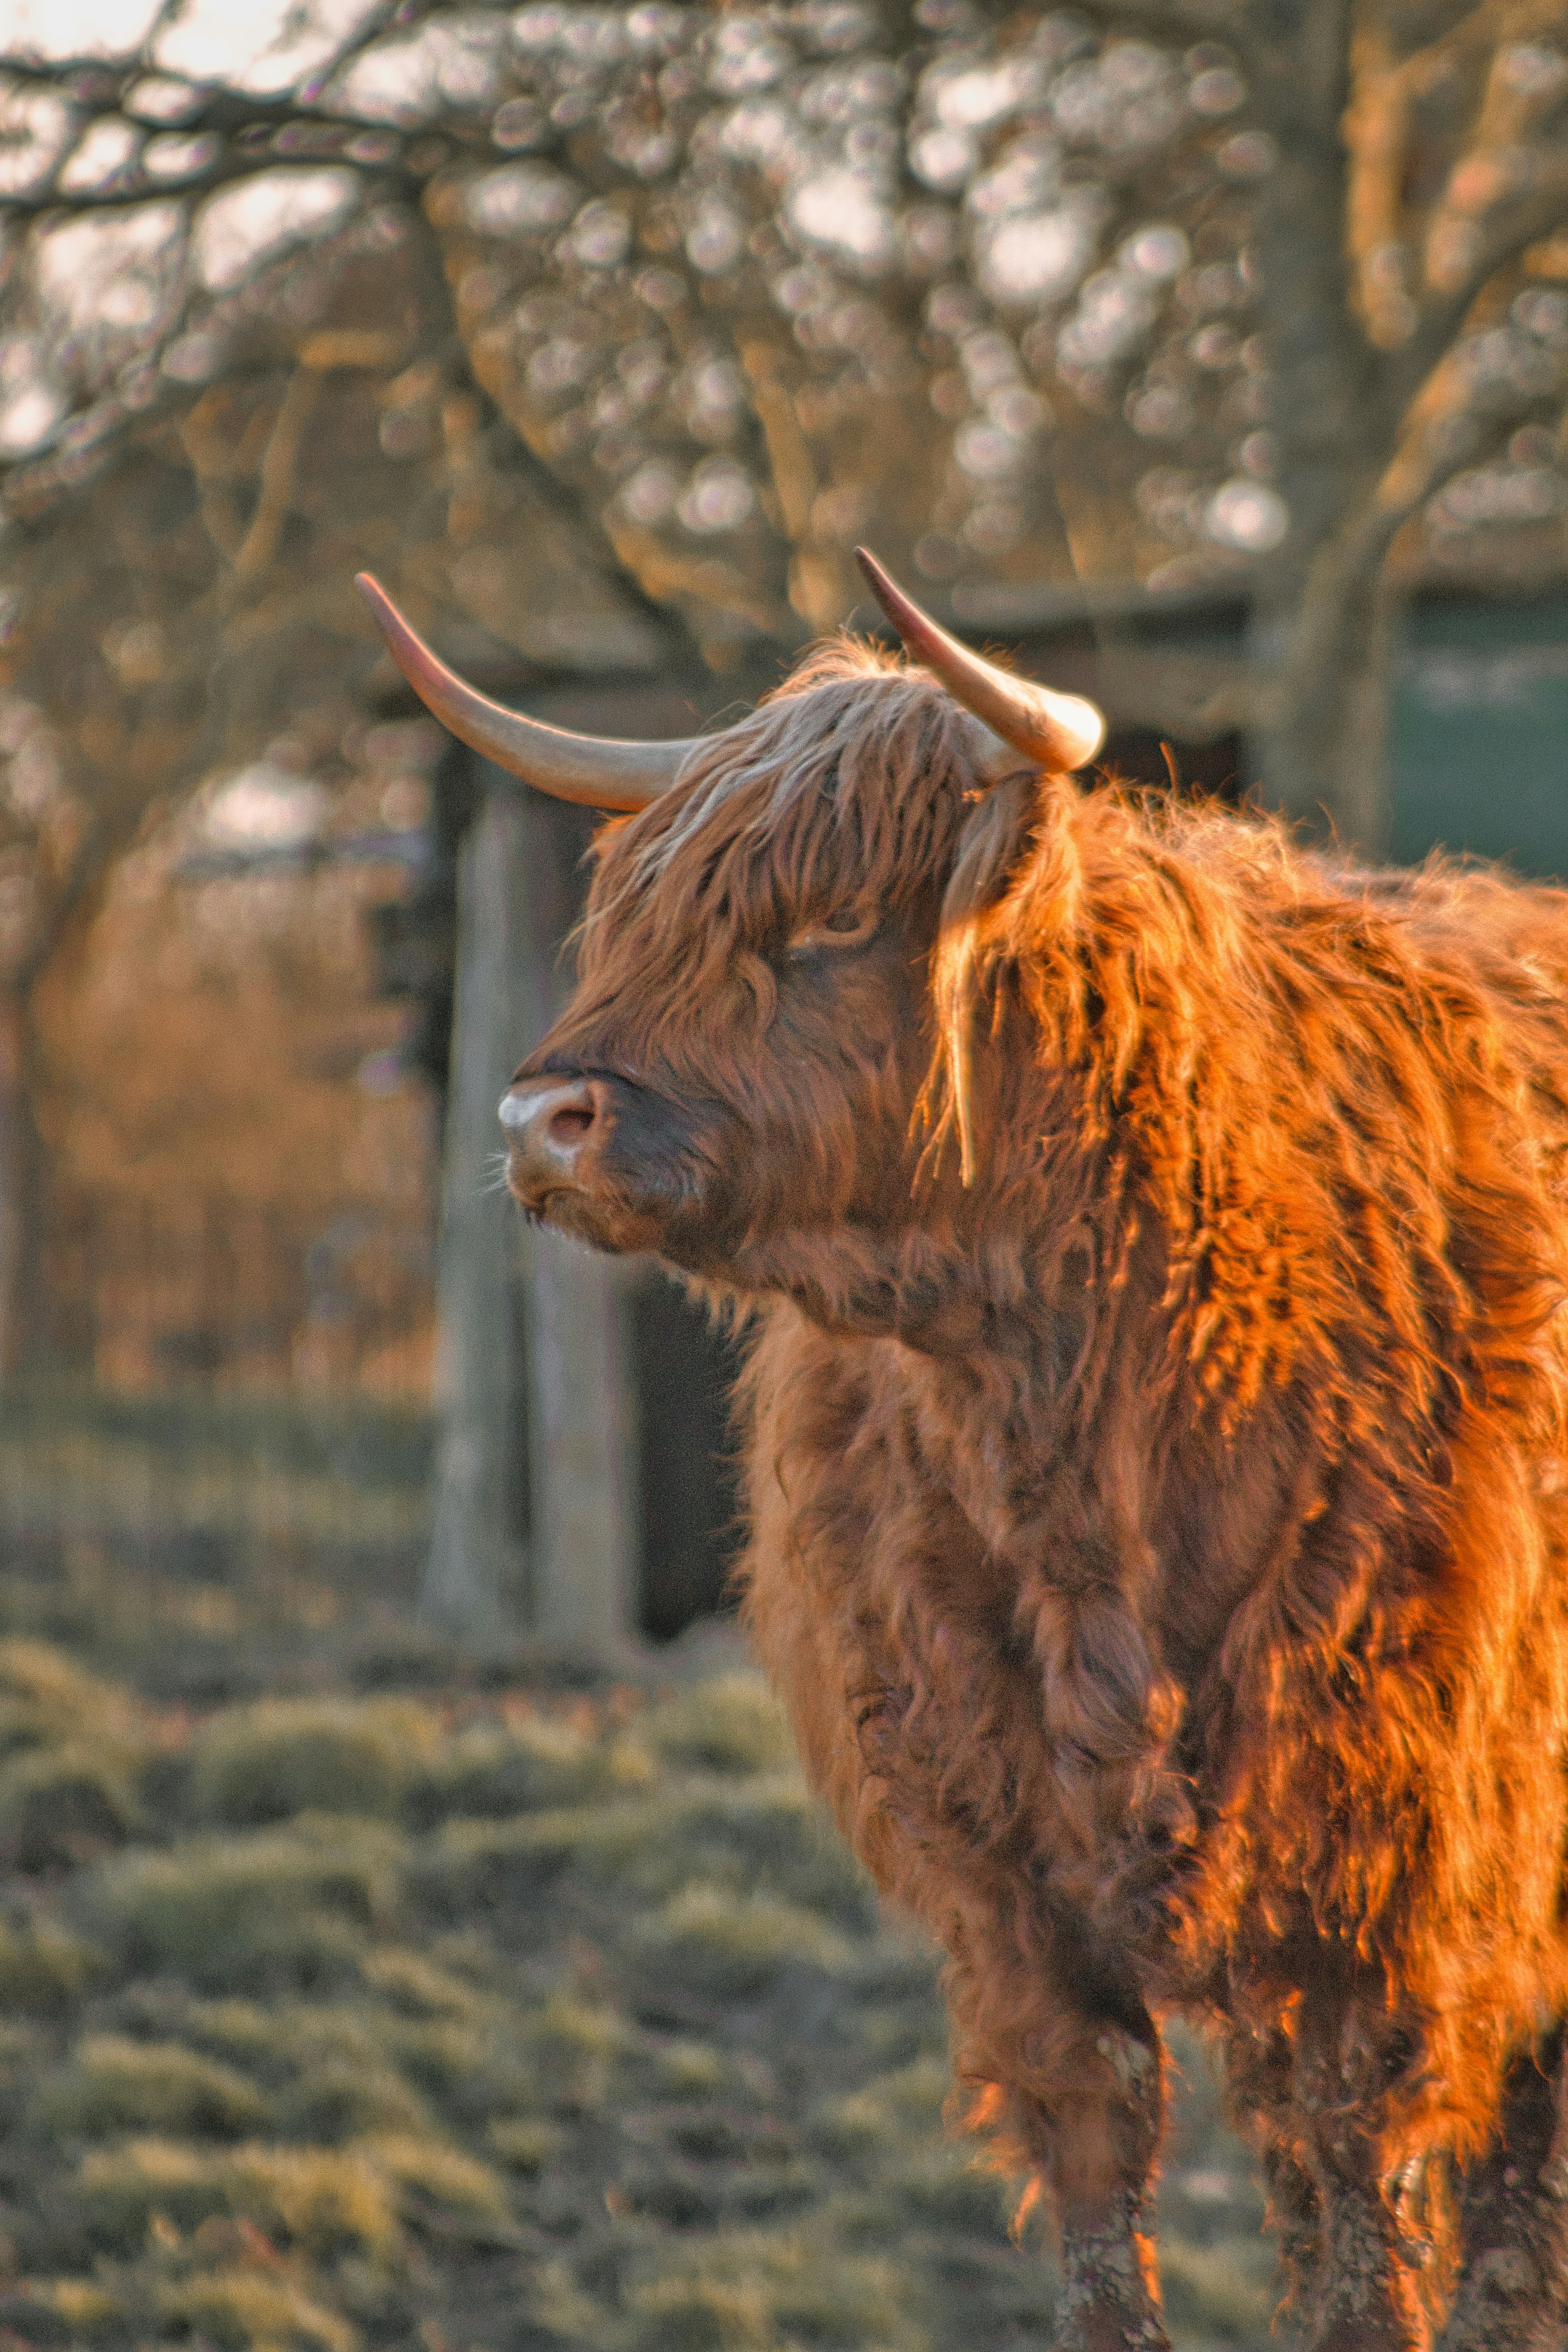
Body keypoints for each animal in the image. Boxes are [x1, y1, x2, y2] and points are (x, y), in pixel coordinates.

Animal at [356, 552, 1568, 2352]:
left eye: (833, 925)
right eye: (636, 916)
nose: (538, 1124)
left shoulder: (1395, 1877)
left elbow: (1368, 2217)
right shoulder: (1003, 1880)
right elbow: (1104, 2190)